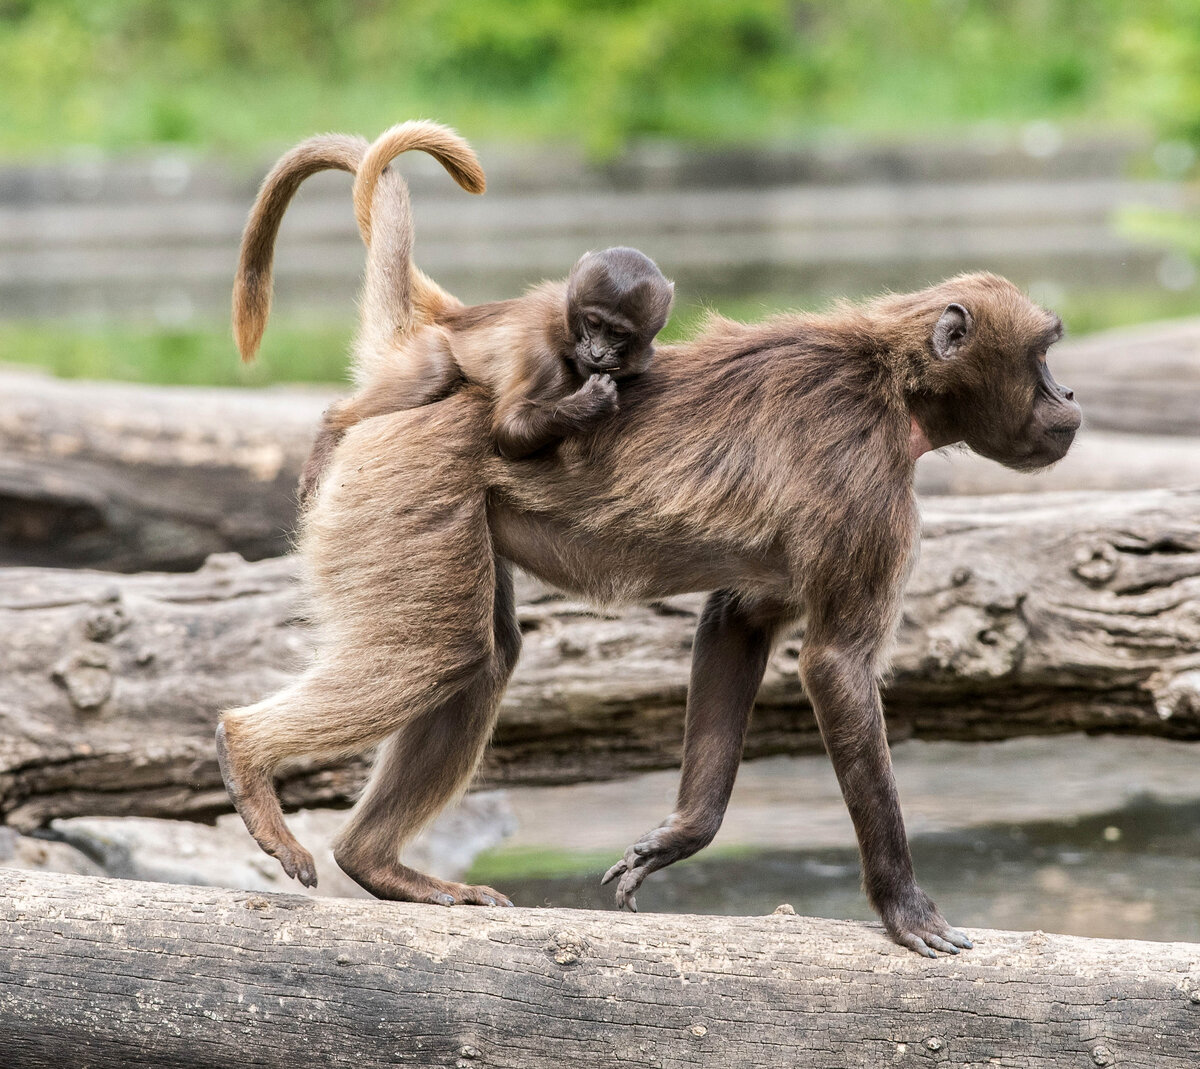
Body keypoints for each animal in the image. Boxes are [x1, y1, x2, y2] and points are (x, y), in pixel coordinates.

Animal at [217, 261, 1080, 957]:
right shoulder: (866, 488)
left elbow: (740, 621)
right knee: (442, 653)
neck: (891, 375)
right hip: (410, 478)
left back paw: (376, 864)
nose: (1070, 397)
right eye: (1043, 353)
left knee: (482, 656)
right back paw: (246, 753)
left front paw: (673, 840)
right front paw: (905, 909)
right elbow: (837, 665)